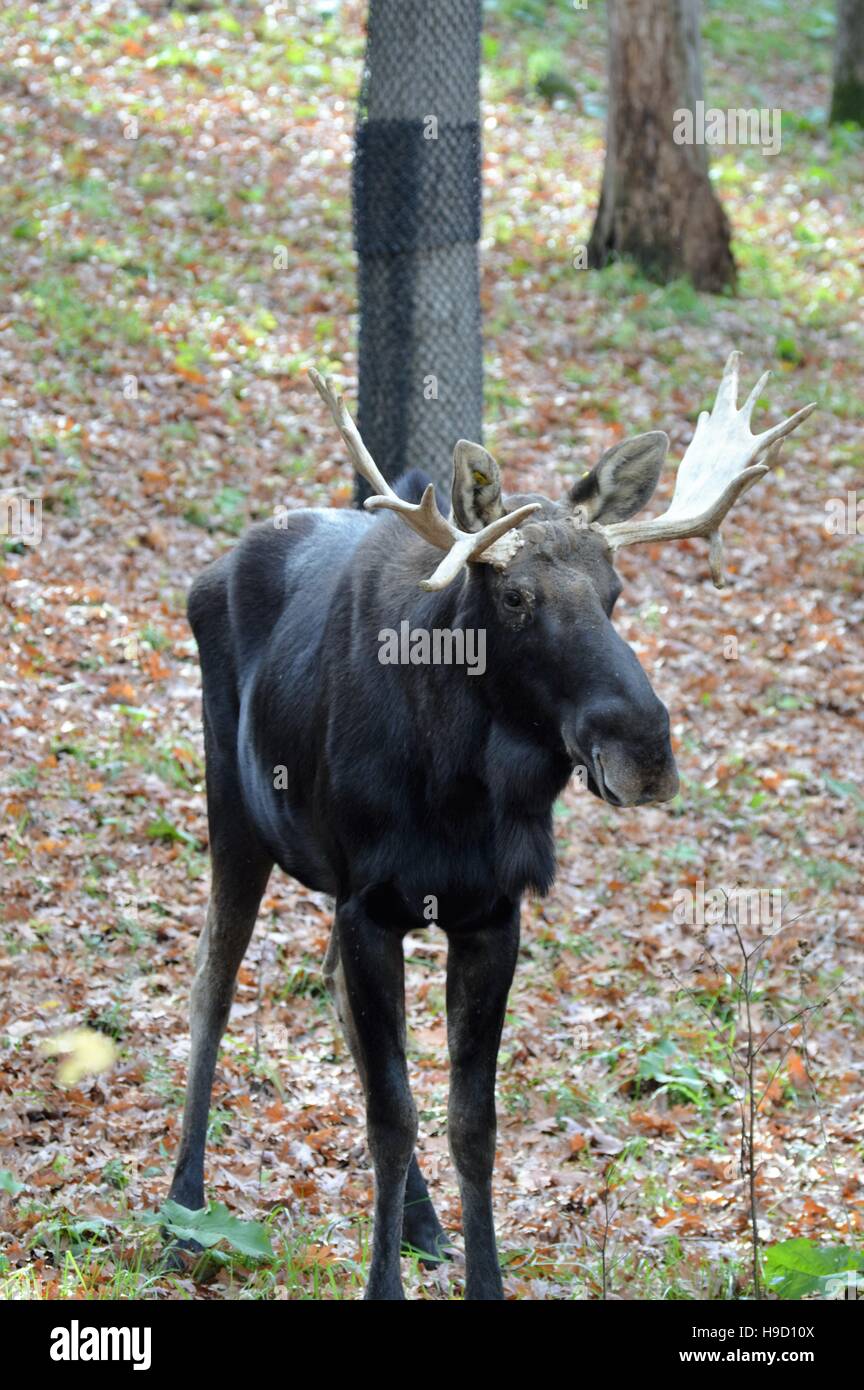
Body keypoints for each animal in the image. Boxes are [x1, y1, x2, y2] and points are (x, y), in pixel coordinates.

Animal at [166, 353, 814, 1299]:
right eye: (514, 595)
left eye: (616, 593)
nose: (646, 747)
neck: (457, 791)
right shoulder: (368, 903)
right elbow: (392, 1115)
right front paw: (381, 1285)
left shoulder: (492, 913)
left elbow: (473, 1120)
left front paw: (482, 1278)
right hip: (234, 804)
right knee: (211, 985)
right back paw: (182, 1210)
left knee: (326, 991)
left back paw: (421, 1222)